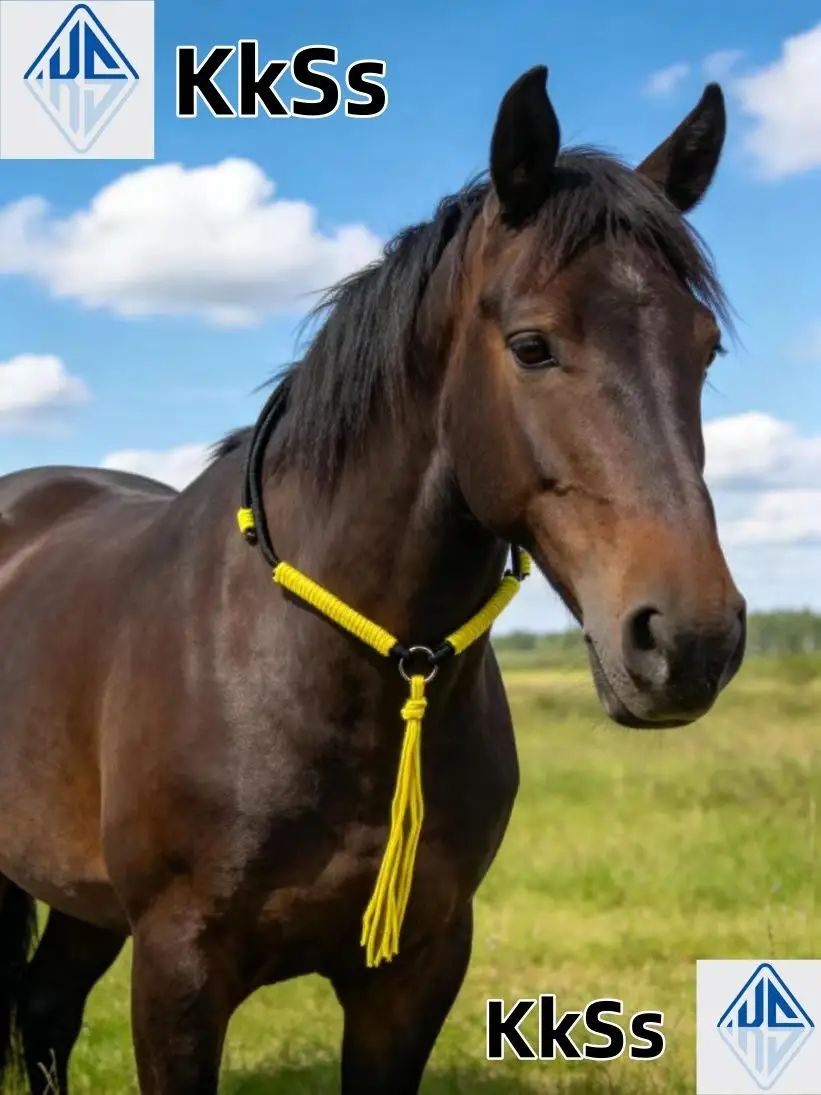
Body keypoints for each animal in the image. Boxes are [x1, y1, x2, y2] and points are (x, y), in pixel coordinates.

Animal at [0, 66, 745, 1093]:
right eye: (531, 345)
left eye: (703, 348)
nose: (689, 639)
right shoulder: (177, 970)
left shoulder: (414, 970)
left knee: (44, 1007)